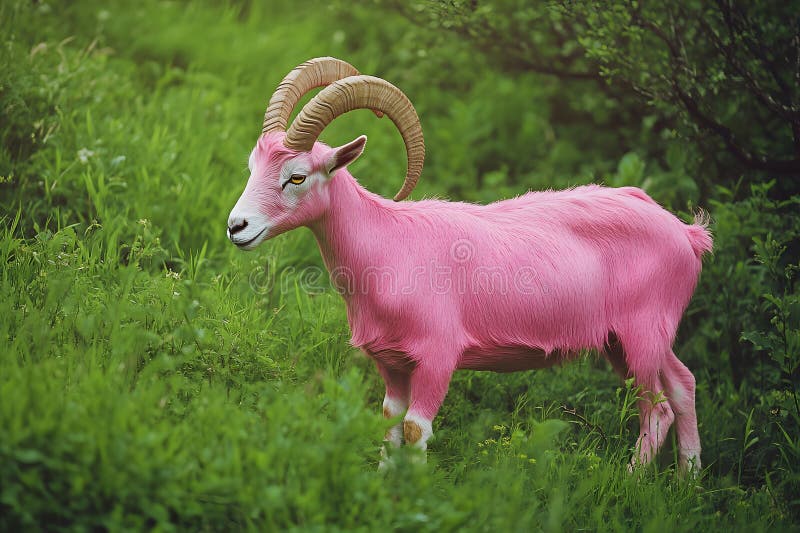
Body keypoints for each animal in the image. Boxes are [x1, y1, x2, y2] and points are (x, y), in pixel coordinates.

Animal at [227, 57, 712, 474]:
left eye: (296, 176)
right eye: (251, 165)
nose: (236, 226)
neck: (389, 243)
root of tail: (686, 234)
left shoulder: (437, 356)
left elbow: (414, 431)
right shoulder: (391, 363)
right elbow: (389, 425)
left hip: (642, 332)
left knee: (657, 411)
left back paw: (633, 482)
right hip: (628, 339)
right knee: (683, 385)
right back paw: (688, 482)